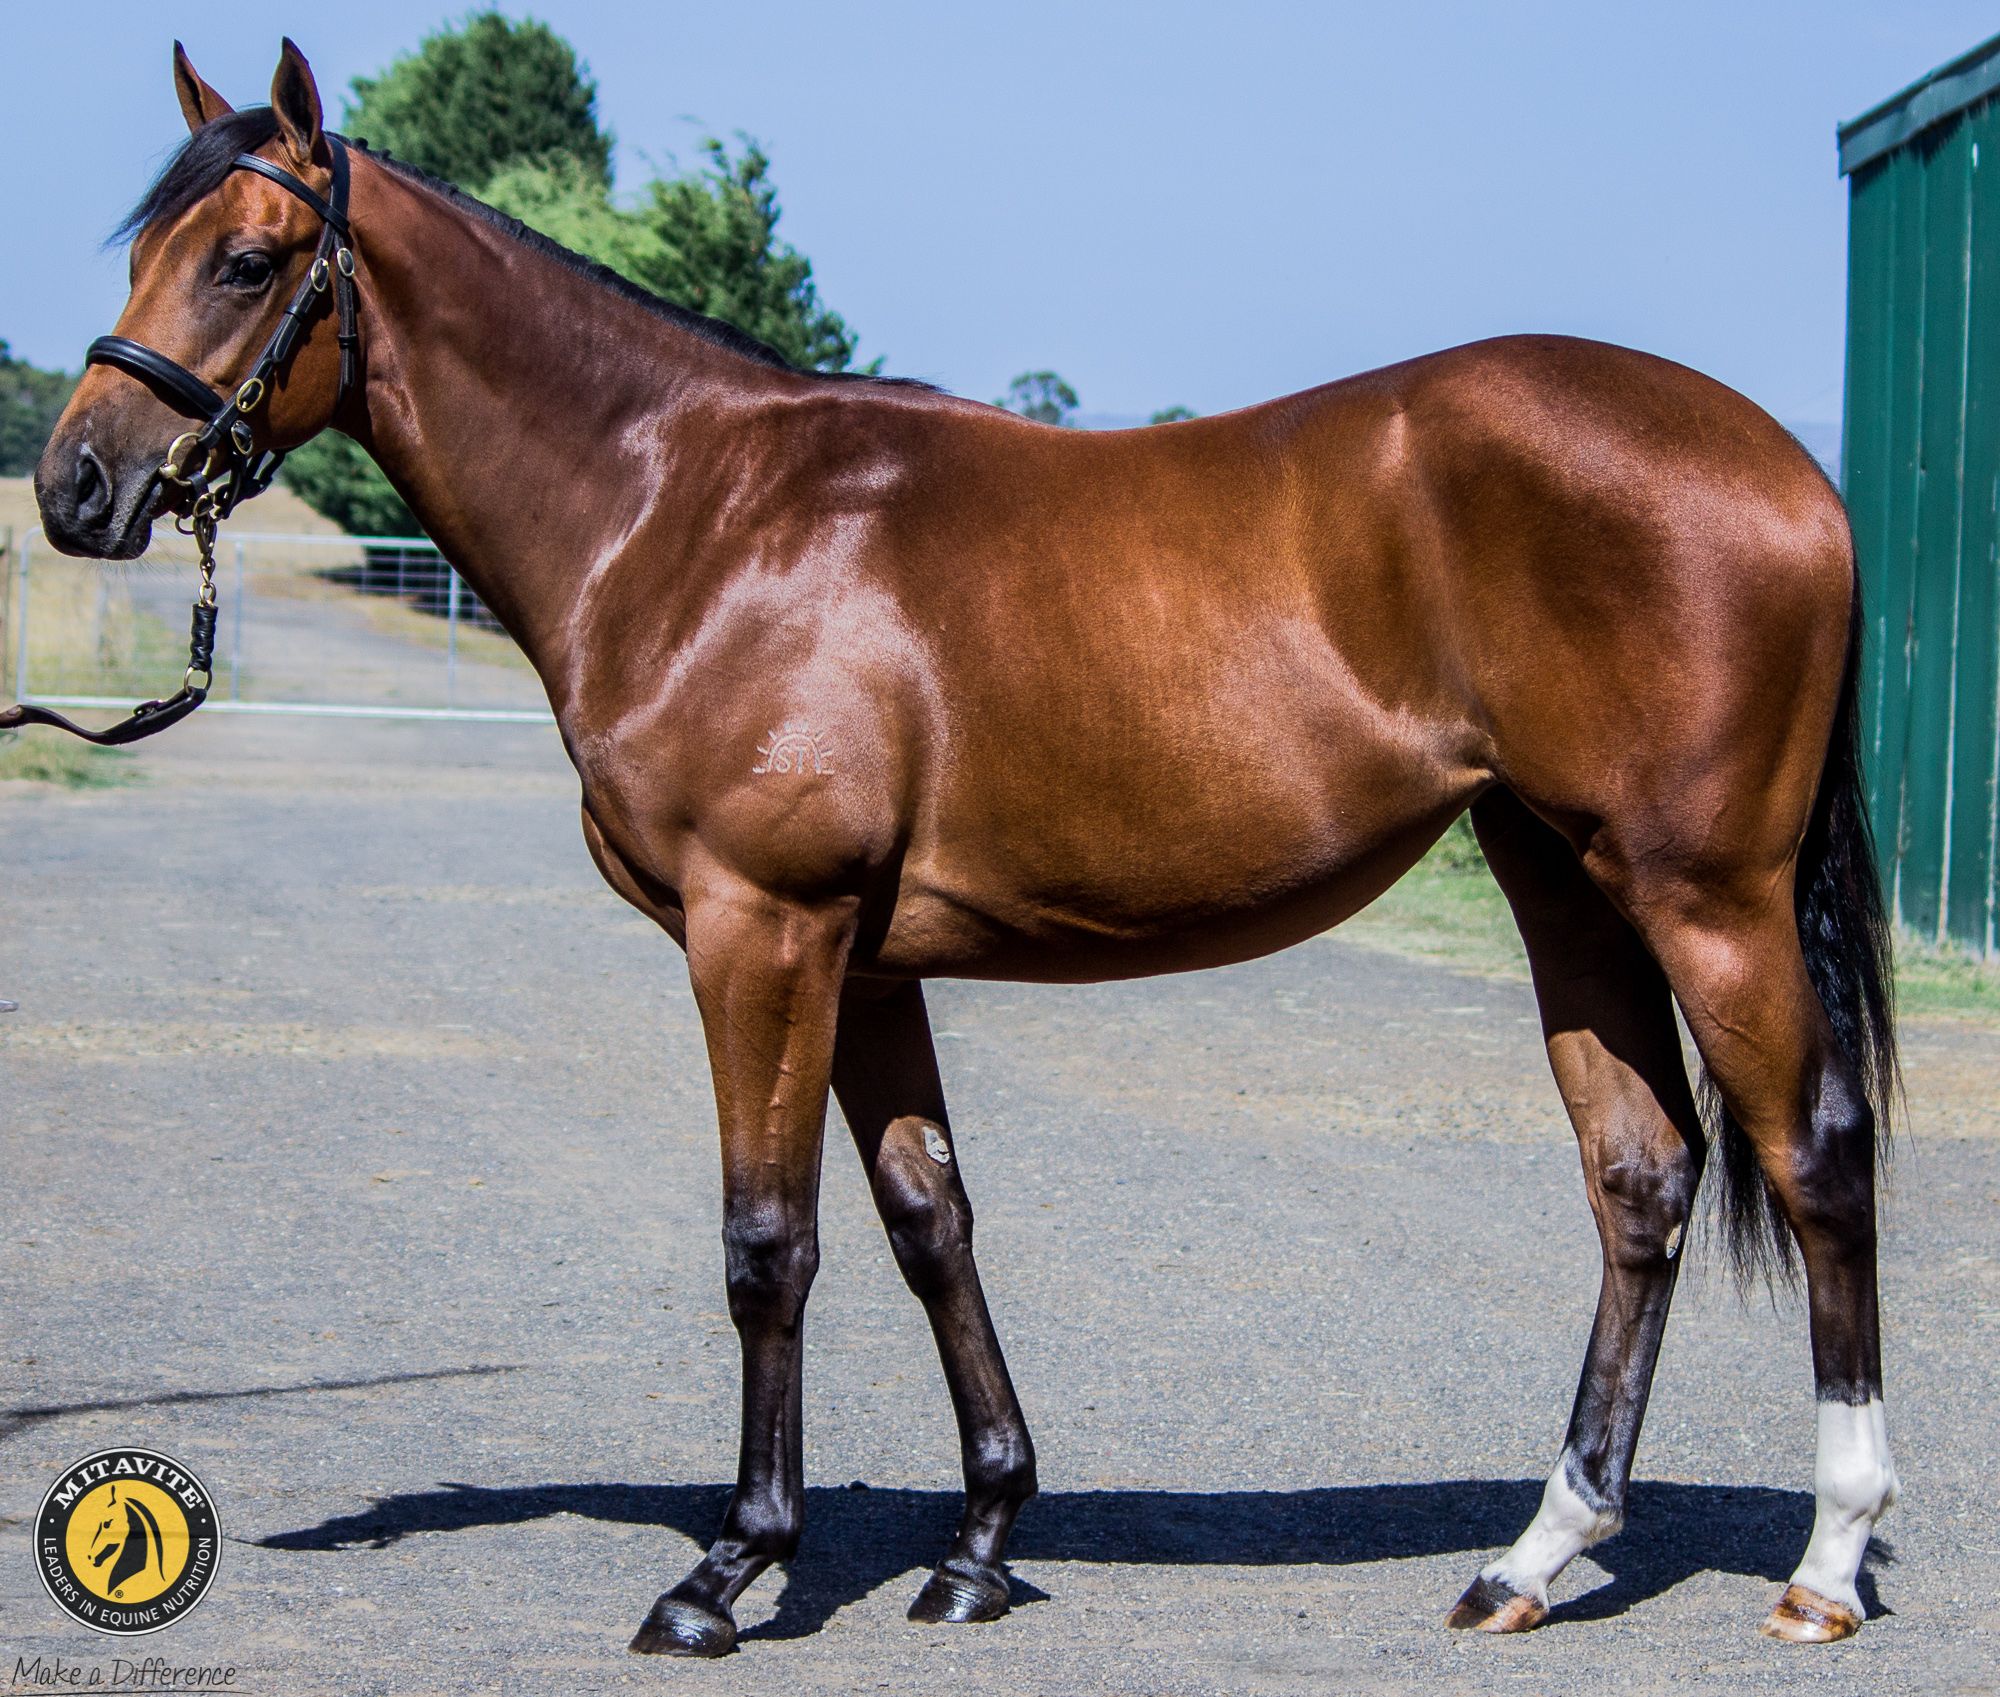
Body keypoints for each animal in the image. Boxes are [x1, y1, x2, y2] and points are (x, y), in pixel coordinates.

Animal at [34, 39, 1899, 1654]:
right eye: (148, 248)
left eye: (248, 258)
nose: (77, 488)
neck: (694, 514)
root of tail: (1792, 469)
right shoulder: (863, 959)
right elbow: (930, 1216)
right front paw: (985, 1539)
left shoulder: (763, 927)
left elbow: (769, 1240)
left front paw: (732, 1566)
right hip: (1560, 875)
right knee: (1643, 1174)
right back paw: (1535, 1553)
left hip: (1705, 896)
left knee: (1815, 1155)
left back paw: (1827, 1557)